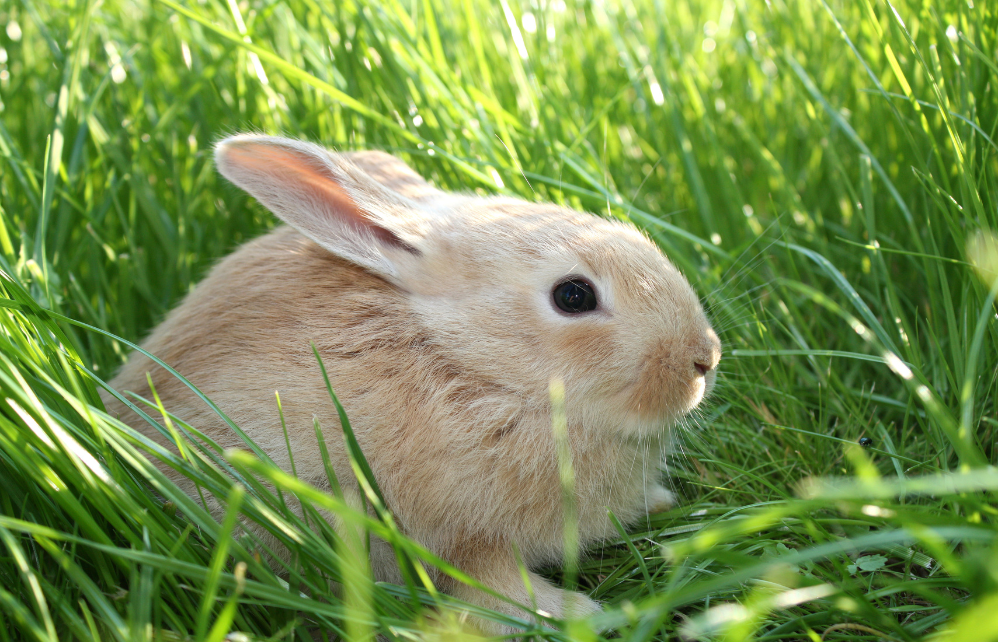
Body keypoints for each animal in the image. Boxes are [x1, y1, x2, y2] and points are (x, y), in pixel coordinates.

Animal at [102, 134, 722, 636]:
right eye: (574, 296)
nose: (704, 358)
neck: (469, 365)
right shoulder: (466, 539)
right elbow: (493, 589)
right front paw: (578, 614)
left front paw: (659, 502)